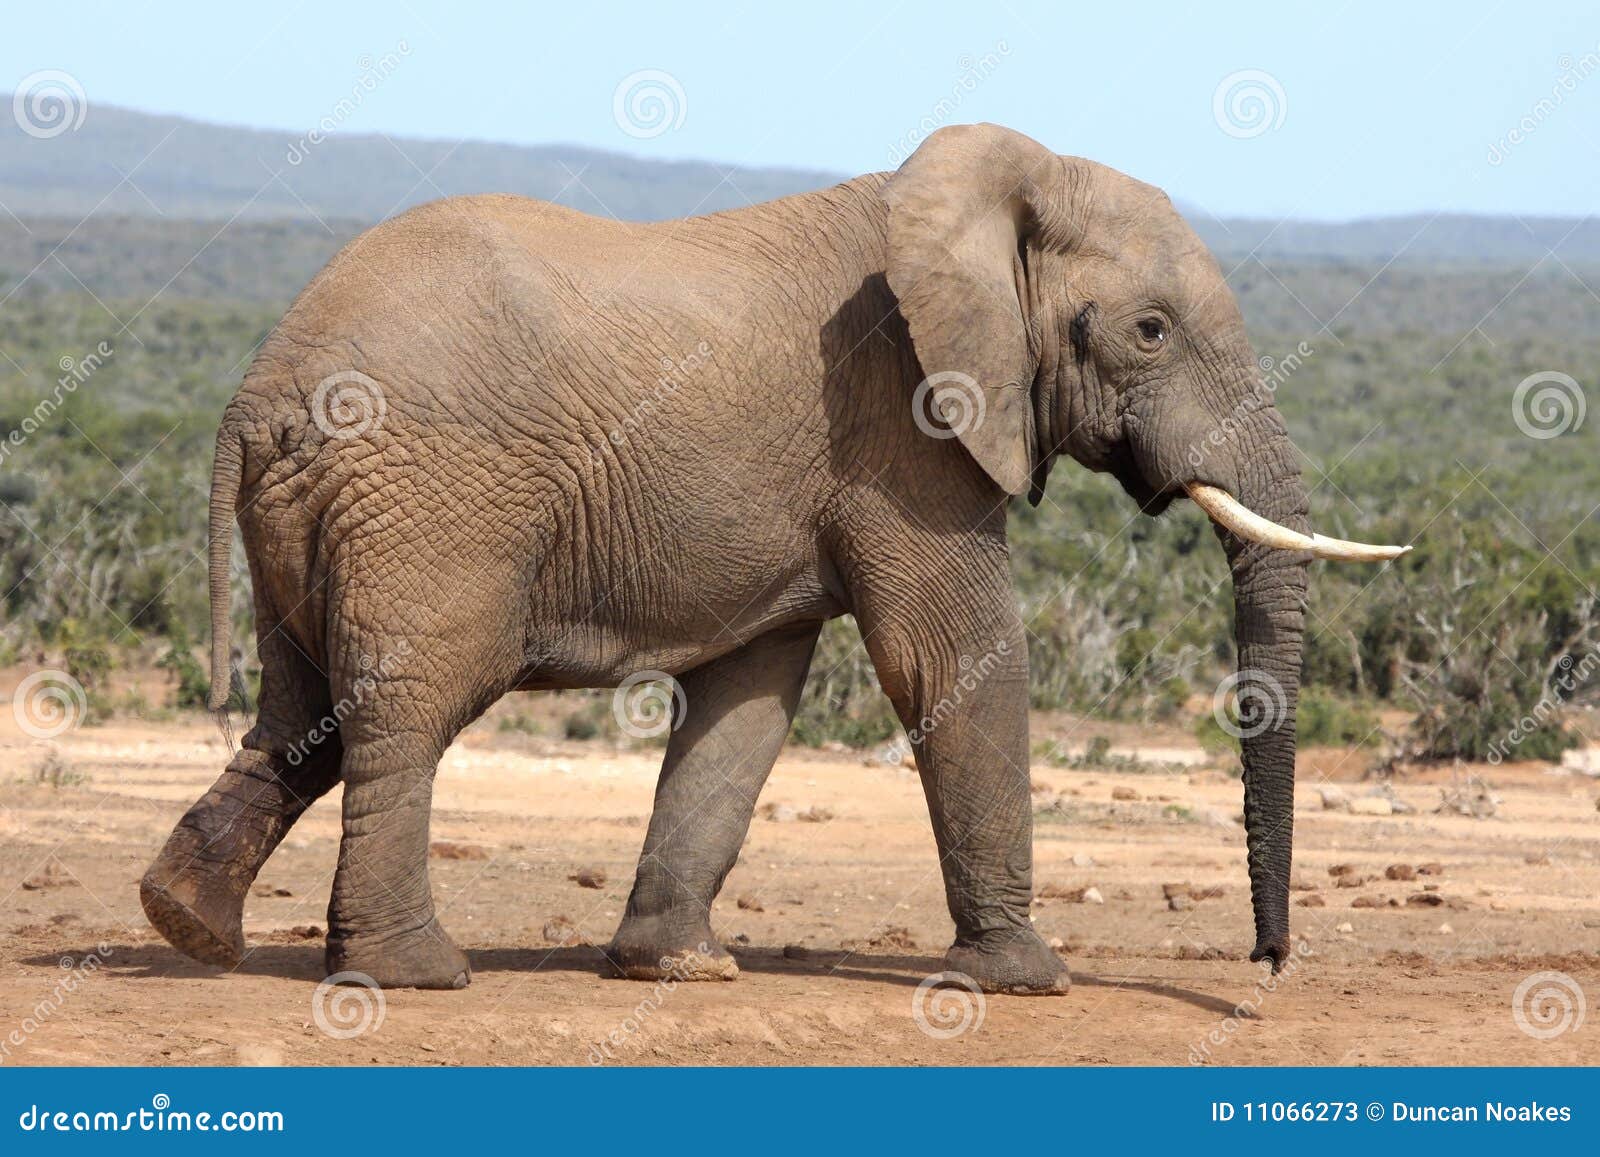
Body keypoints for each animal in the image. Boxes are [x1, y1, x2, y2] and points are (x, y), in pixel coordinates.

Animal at [139, 123, 1405, 993]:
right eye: (1148, 330)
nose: (1267, 964)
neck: (979, 191)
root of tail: (257, 391)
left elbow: (750, 697)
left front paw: (676, 966)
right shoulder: (901, 427)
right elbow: (951, 653)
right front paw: (1025, 978)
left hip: (320, 510)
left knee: (301, 712)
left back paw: (185, 923)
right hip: (430, 500)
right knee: (405, 703)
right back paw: (414, 973)